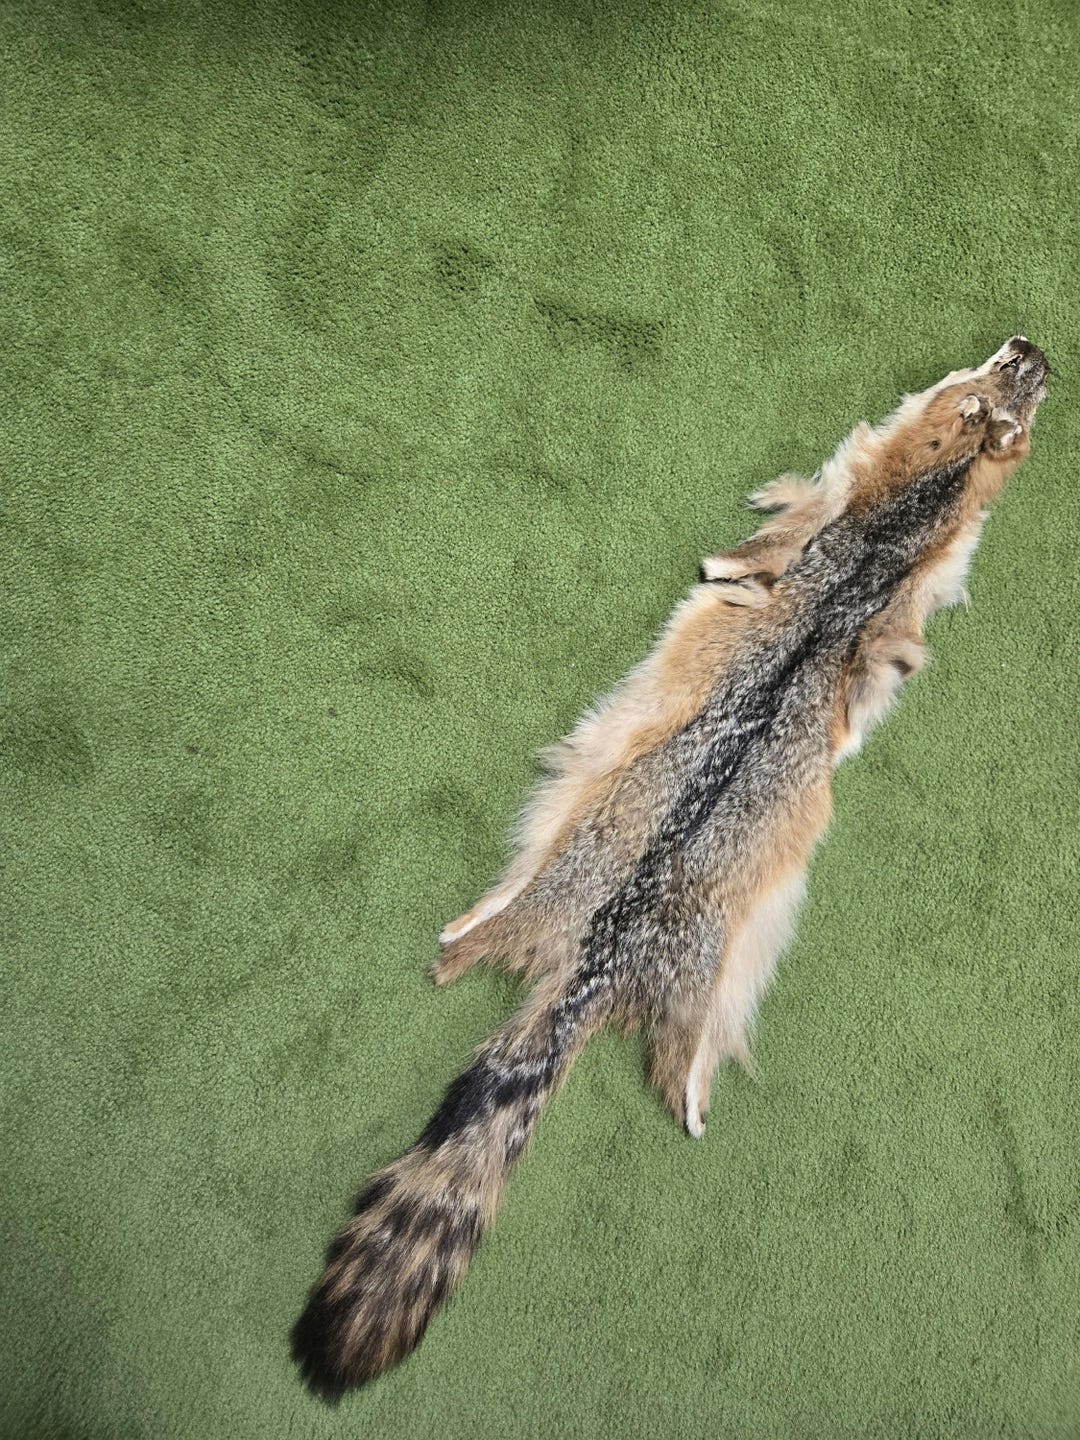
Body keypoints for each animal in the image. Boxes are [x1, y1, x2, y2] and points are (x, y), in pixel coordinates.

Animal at [292, 336, 1050, 1398]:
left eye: (1012, 393)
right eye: (989, 380)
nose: (1037, 349)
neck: (898, 532)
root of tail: (599, 965)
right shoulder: (856, 570)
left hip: (591, 841)